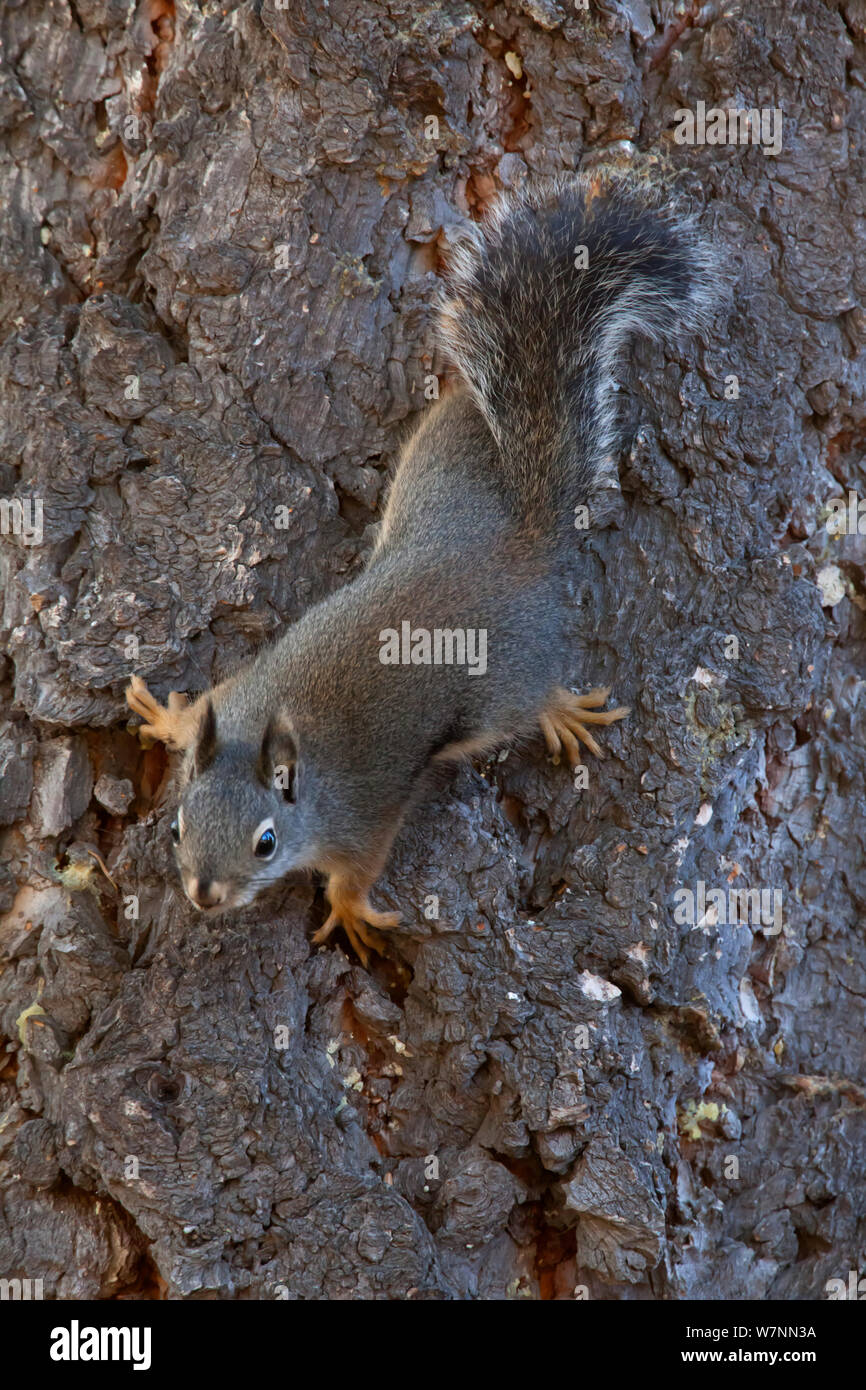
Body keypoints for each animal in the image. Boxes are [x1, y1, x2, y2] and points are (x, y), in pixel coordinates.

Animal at [126, 170, 714, 964]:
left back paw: (561, 710)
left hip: (498, 686)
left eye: (265, 843)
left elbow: (359, 866)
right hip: (434, 470)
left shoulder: (361, 813)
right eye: (179, 825)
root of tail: (513, 549)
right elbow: (195, 716)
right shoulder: (236, 694)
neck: (278, 743)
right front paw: (168, 714)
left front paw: (351, 912)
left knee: (526, 700)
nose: (204, 896)